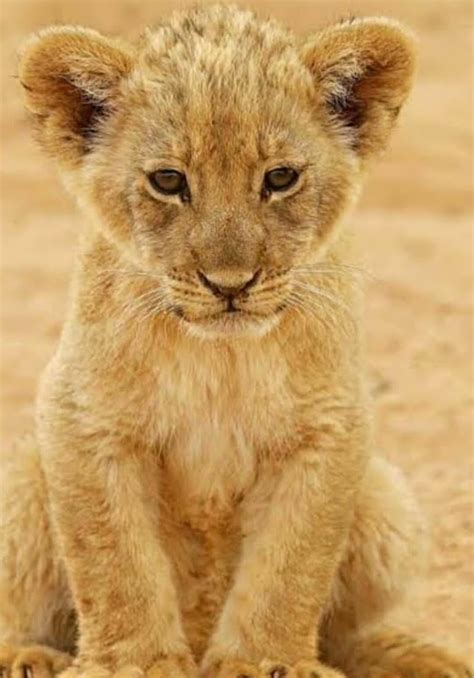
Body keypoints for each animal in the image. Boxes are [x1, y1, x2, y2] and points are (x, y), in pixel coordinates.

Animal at [0, 4, 471, 678]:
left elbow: (292, 566)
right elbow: (114, 563)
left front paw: (264, 662)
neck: (219, 355)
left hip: (387, 500)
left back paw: (419, 657)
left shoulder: (327, 428)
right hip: (22, 477)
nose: (230, 284)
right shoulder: (82, 417)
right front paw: (135, 664)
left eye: (280, 177)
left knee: (348, 633)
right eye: (168, 180)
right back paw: (28, 656)